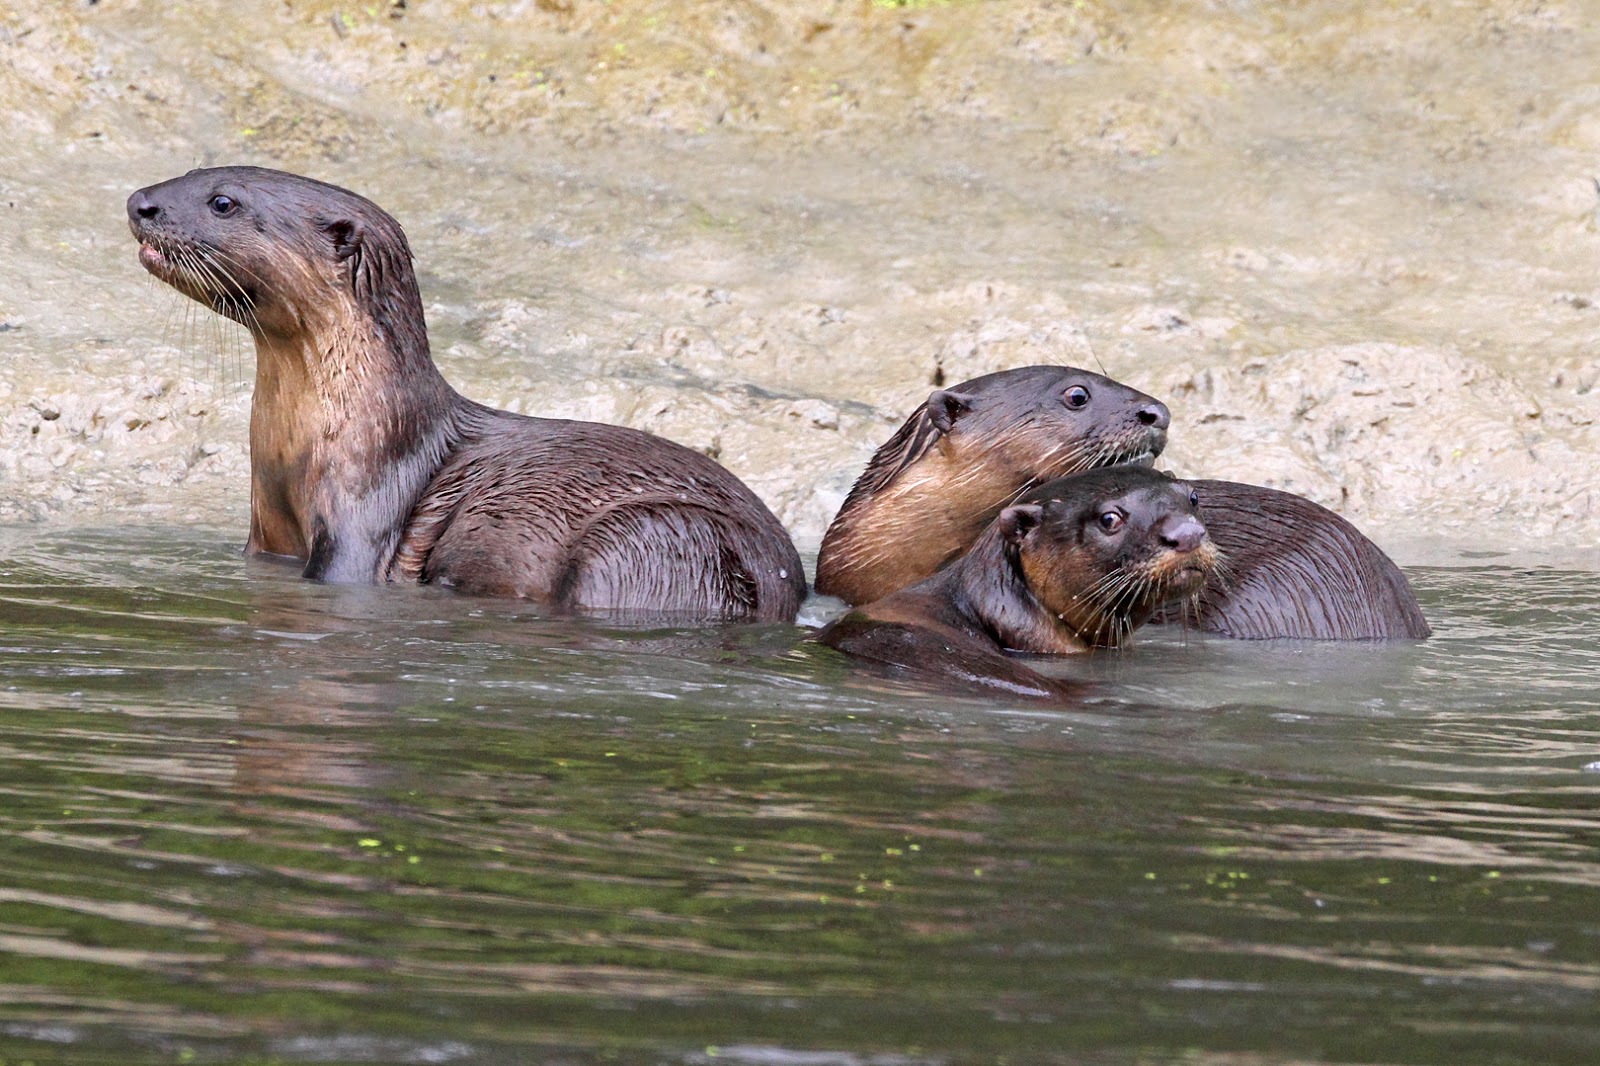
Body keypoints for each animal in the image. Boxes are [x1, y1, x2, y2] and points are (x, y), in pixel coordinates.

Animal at [127, 166, 804, 620]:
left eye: (222, 202)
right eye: (190, 172)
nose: (140, 202)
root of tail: (783, 586)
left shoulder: (362, 512)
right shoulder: (265, 535)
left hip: (651, 539)